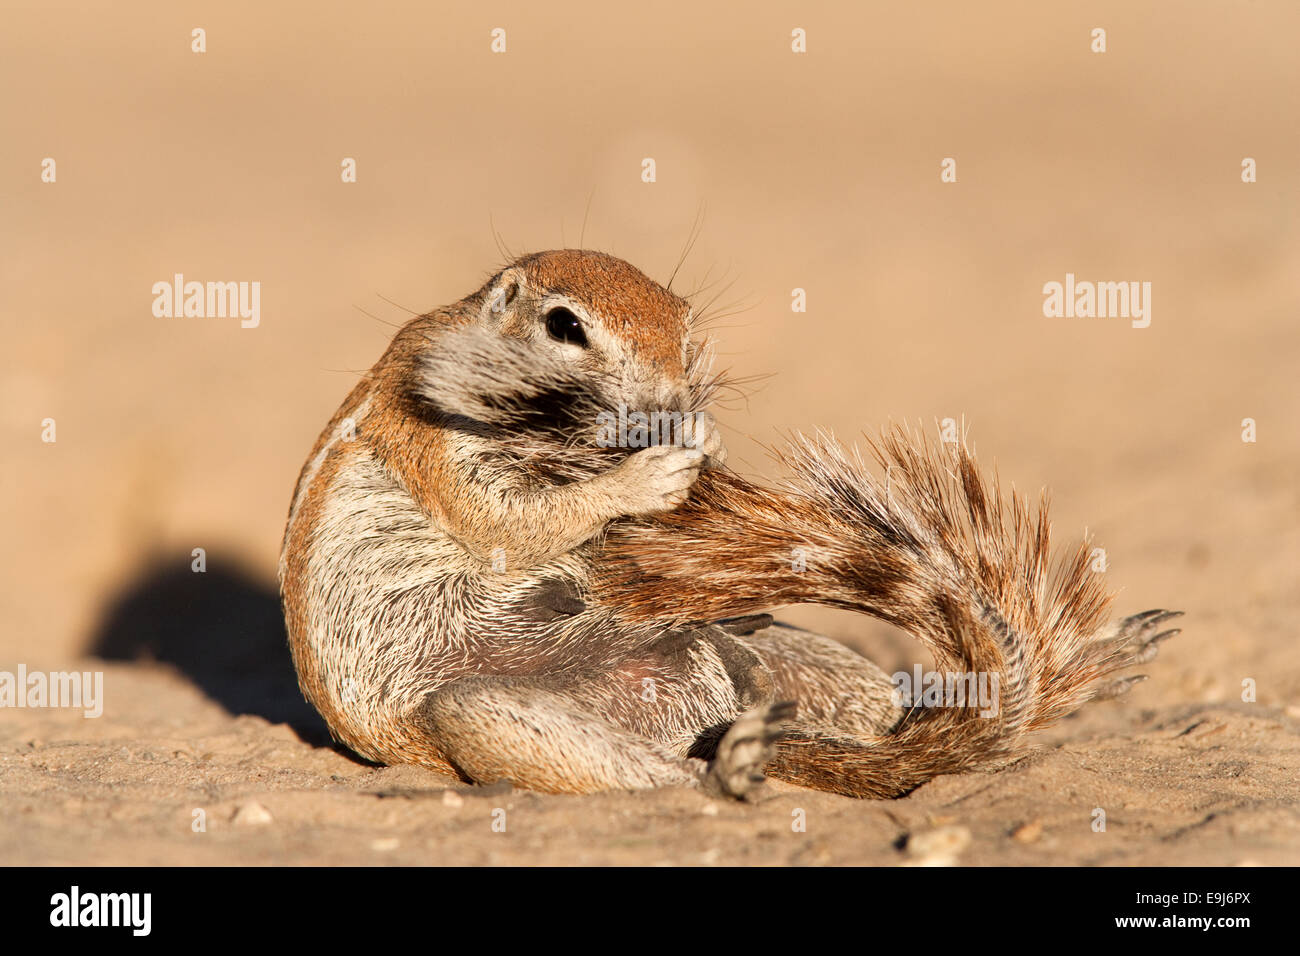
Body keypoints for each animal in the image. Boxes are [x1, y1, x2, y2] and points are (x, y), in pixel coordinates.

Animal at [279, 249, 1181, 799]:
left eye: (684, 323)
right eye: (565, 326)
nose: (670, 400)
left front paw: (699, 440)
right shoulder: (435, 438)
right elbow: (508, 521)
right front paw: (647, 472)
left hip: (795, 660)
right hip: (474, 714)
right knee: (634, 769)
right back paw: (725, 773)